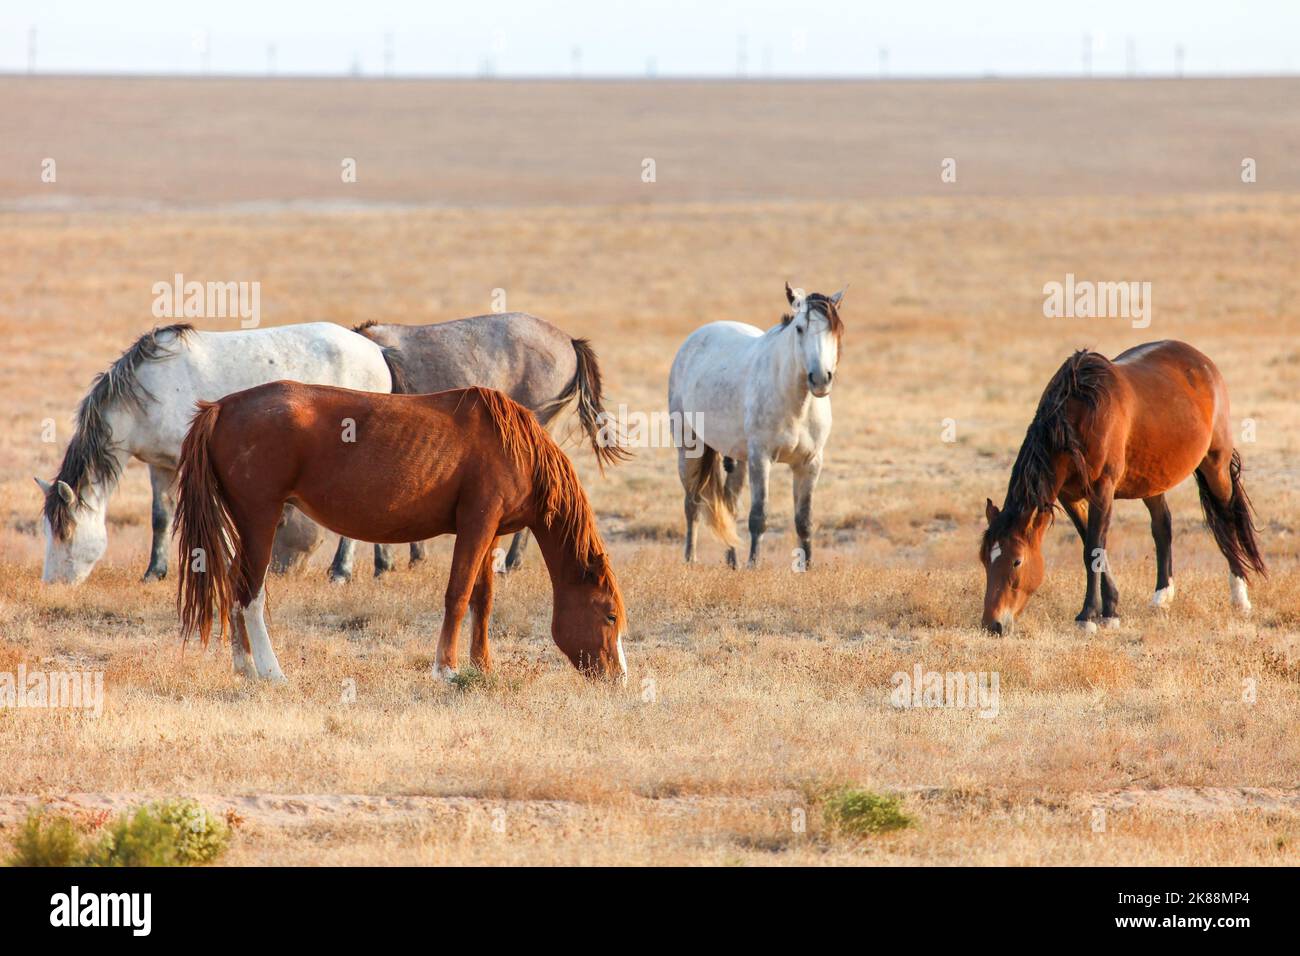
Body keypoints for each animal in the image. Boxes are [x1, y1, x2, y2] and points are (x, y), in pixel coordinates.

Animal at [35, 323, 393, 584]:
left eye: (66, 531)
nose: (52, 583)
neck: (148, 394)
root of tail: (376, 350)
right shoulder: (160, 466)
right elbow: (161, 517)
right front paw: (154, 572)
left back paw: (341, 572)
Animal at [174, 383, 628, 684]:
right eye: (610, 614)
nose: (619, 677)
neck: (517, 448)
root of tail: (221, 407)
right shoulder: (476, 524)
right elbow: (458, 595)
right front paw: (447, 670)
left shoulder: (491, 532)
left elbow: (482, 598)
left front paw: (483, 667)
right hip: (260, 520)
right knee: (250, 592)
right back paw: (270, 671)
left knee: (235, 585)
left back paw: (245, 667)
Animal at [668, 283, 844, 568]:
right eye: (799, 328)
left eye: (834, 329)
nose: (820, 378)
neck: (797, 404)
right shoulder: (761, 459)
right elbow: (759, 517)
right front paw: (754, 566)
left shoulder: (810, 463)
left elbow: (804, 521)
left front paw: (807, 568)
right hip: (689, 448)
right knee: (692, 504)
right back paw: (690, 560)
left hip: (737, 458)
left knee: (729, 504)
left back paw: (732, 562)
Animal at [980, 340, 1267, 635]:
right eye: (984, 560)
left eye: (1017, 561)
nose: (992, 624)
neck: (1079, 416)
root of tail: (1202, 361)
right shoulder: (1070, 496)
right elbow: (1093, 546)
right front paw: (1110, 610)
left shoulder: (1102, 490)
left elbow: (1092, 548)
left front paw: (1088, 615)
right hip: (1153, 479)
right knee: (1162, 526)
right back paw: (1162, 596)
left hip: (1215, 464)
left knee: (1227, 520)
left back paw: (1240, 597)